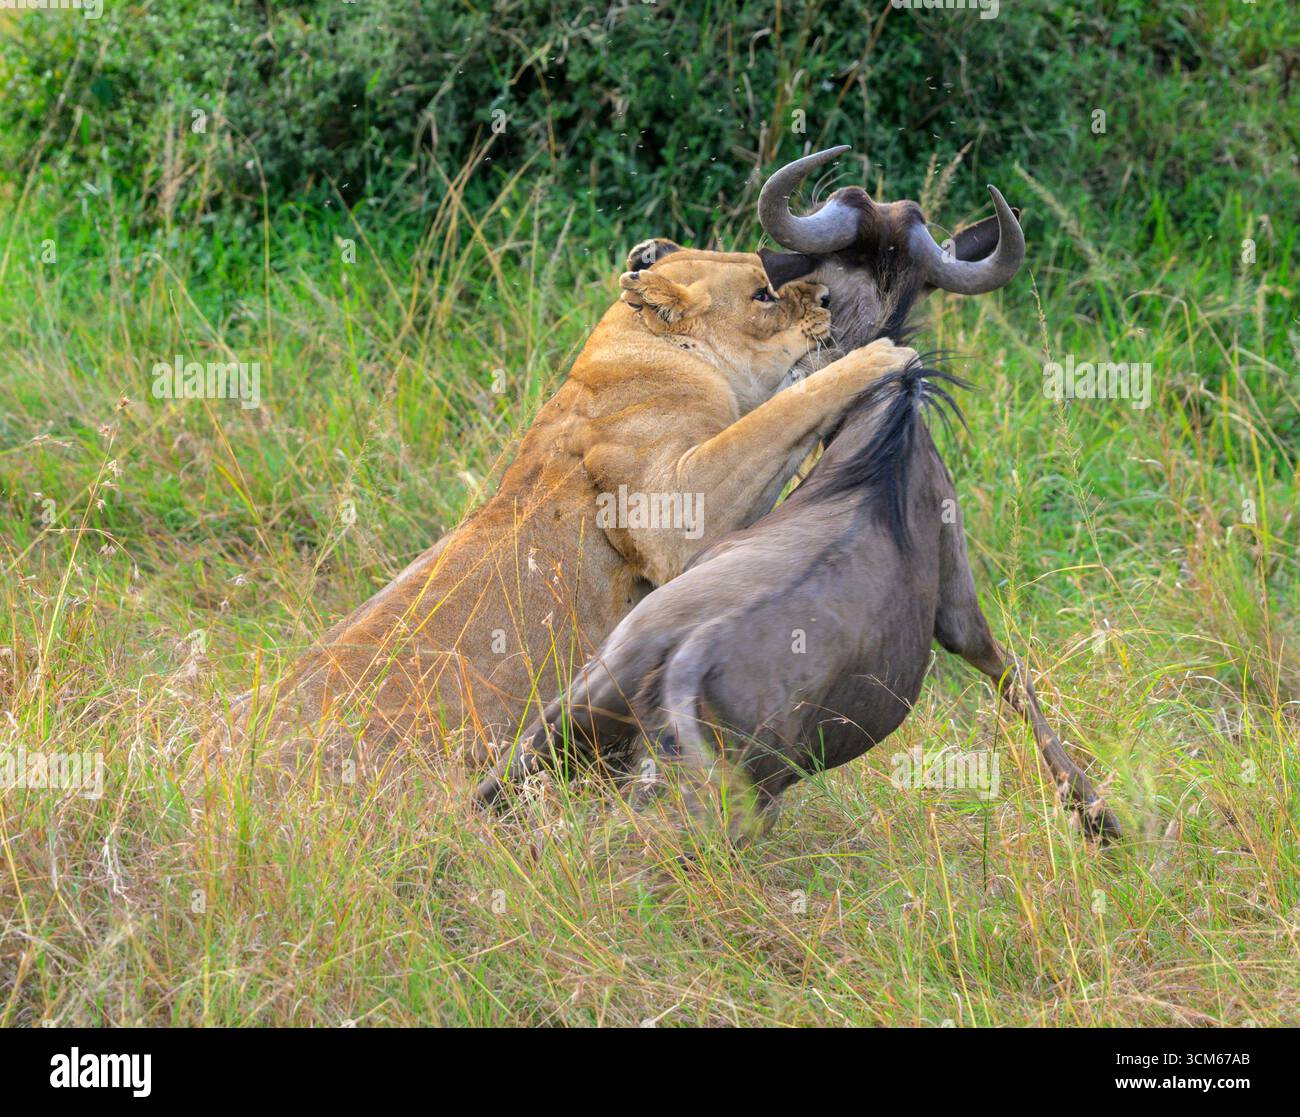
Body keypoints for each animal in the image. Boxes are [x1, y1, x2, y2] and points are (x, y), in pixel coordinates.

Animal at [224, 239, 917, 768]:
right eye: (763, 294)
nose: (827, 299)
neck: (641, 350)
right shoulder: (671, 515)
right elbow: (782, 411)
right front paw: (880, 355)